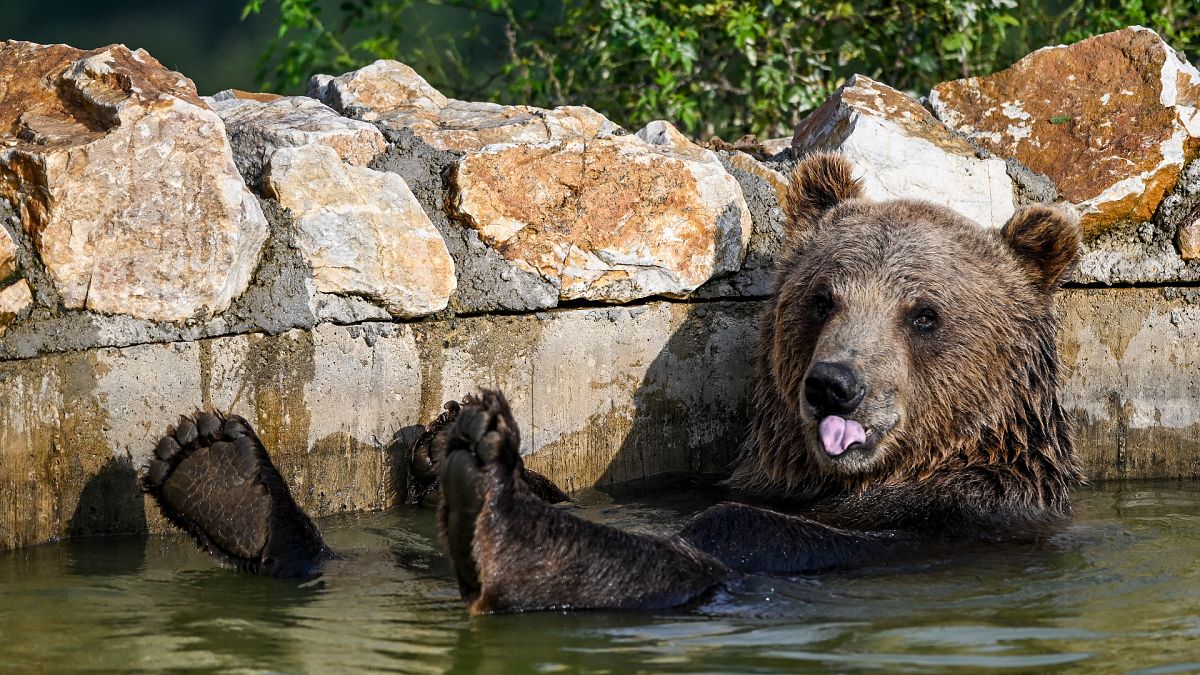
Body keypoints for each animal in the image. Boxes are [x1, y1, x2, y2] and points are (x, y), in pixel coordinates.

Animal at [142, 152, 1083, 615]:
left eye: (923, 314)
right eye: (824, 296)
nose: (835, 386)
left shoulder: (949, 518)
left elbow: (755, 527)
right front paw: (443, 426)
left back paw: (490, 510)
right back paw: (216, 468)